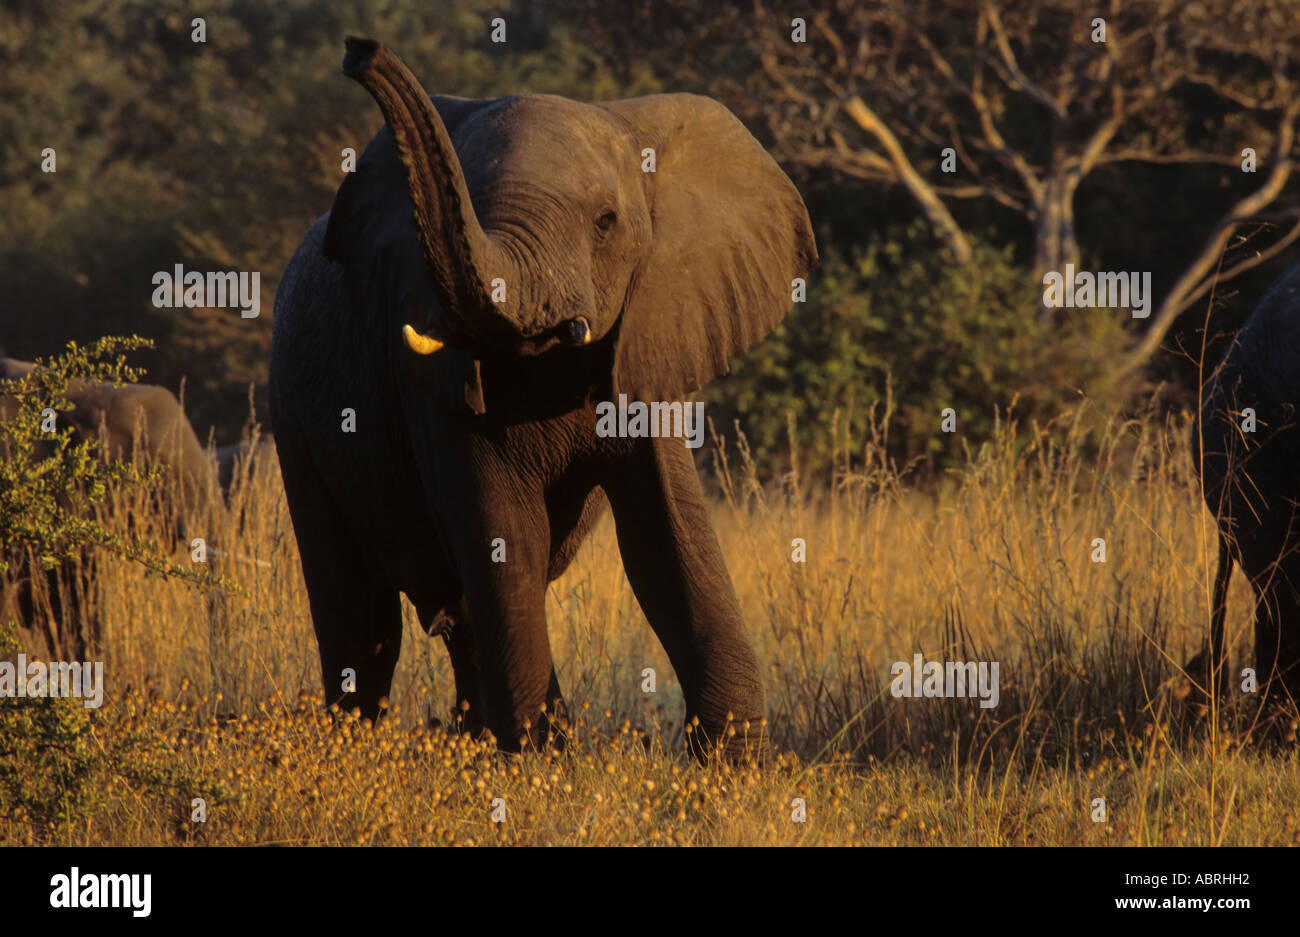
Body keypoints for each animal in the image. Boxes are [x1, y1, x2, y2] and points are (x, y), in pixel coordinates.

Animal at [269, 38, 817, 760]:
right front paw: (544, 758)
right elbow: (506, 532)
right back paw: (356, 748)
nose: (360, 52)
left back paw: (471, 741)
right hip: (291, 411)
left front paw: (734, 764)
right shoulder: (431, 375)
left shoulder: (647, 335)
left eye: (607, 223)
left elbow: (664, 534)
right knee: (358, 609)